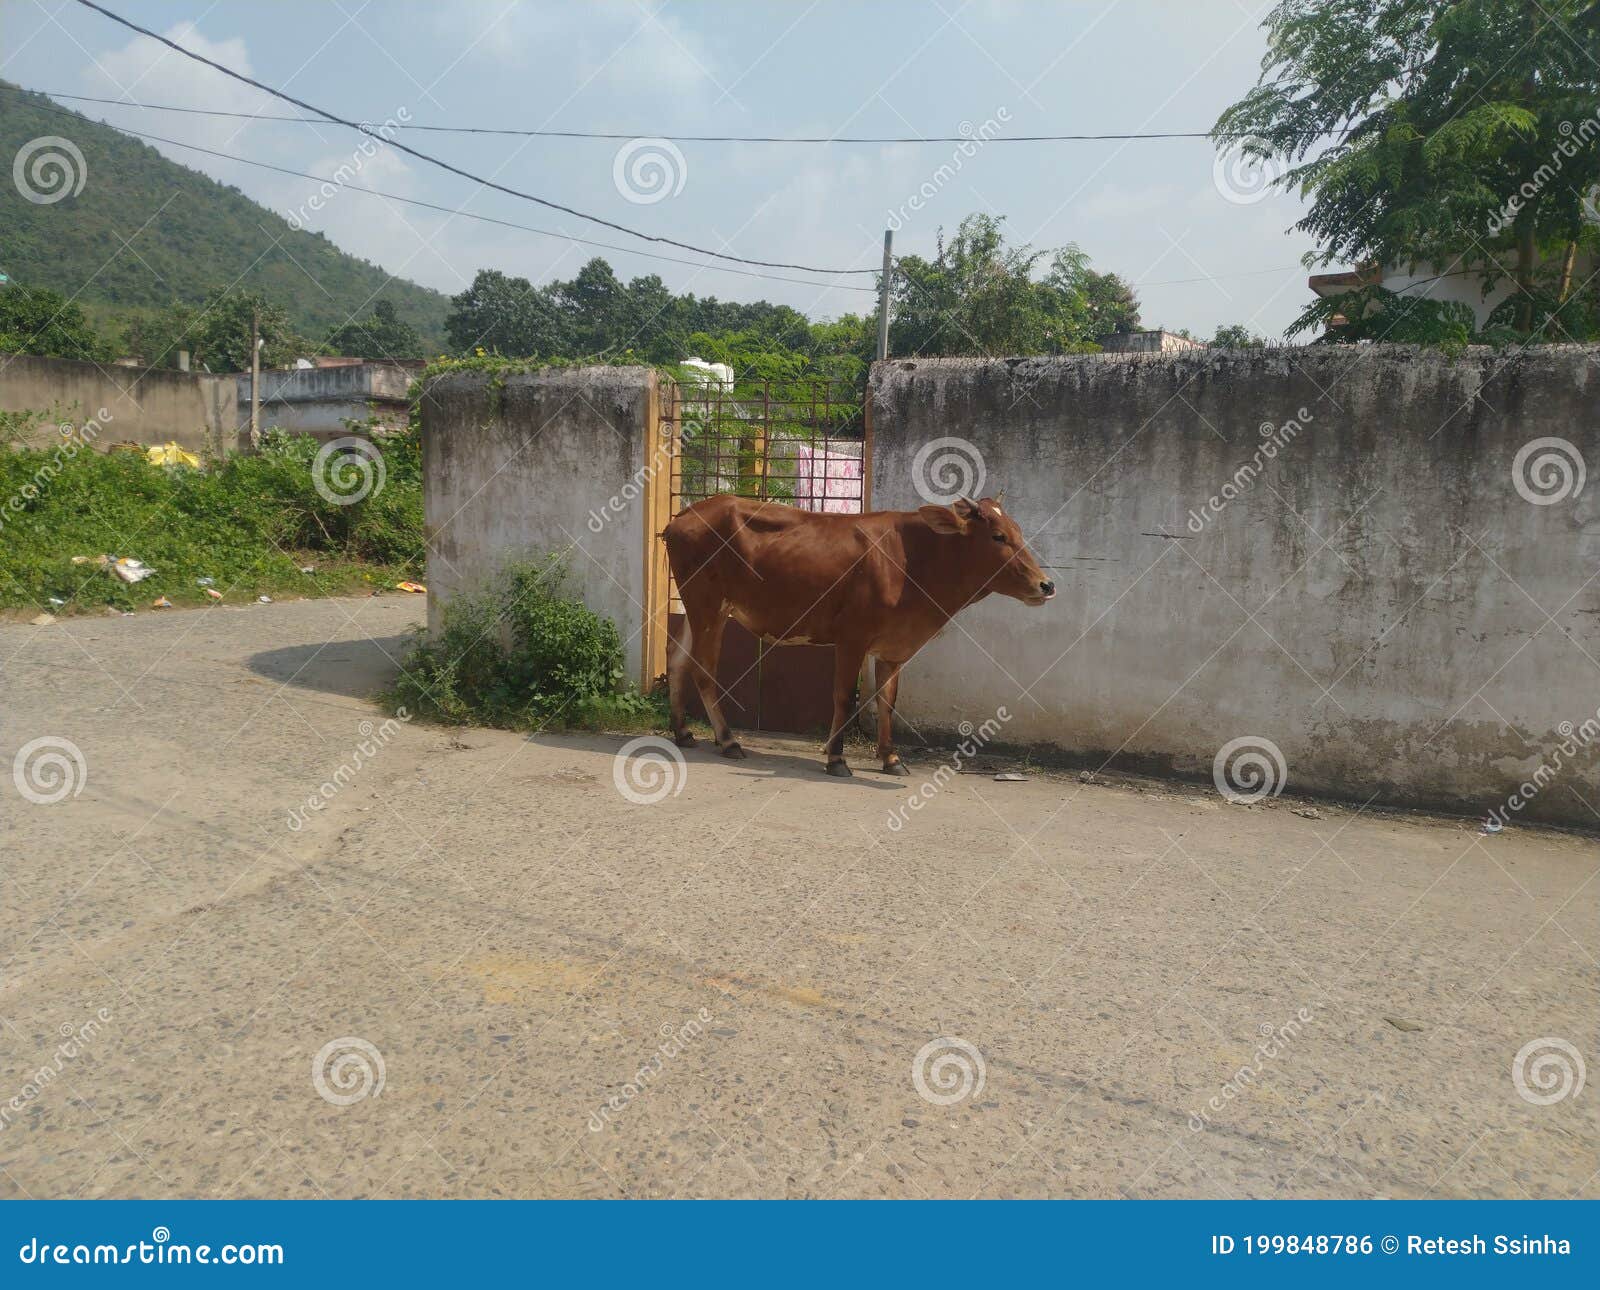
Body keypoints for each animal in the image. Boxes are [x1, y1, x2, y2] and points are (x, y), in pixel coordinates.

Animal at [663, 493, 1054, 777]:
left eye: (1019, 531)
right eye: (998, 536)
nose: (1046, 585)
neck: (915, 561)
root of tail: (685, 514)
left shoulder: (893, 648)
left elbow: (887, 702)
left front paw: (891, 758)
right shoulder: (852, 638)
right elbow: (843, 699)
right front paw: (837, 759)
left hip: (697, 610)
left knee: (677, 660)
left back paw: (683, 733)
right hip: (709, 608)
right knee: (703, 671)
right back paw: (728, 740)